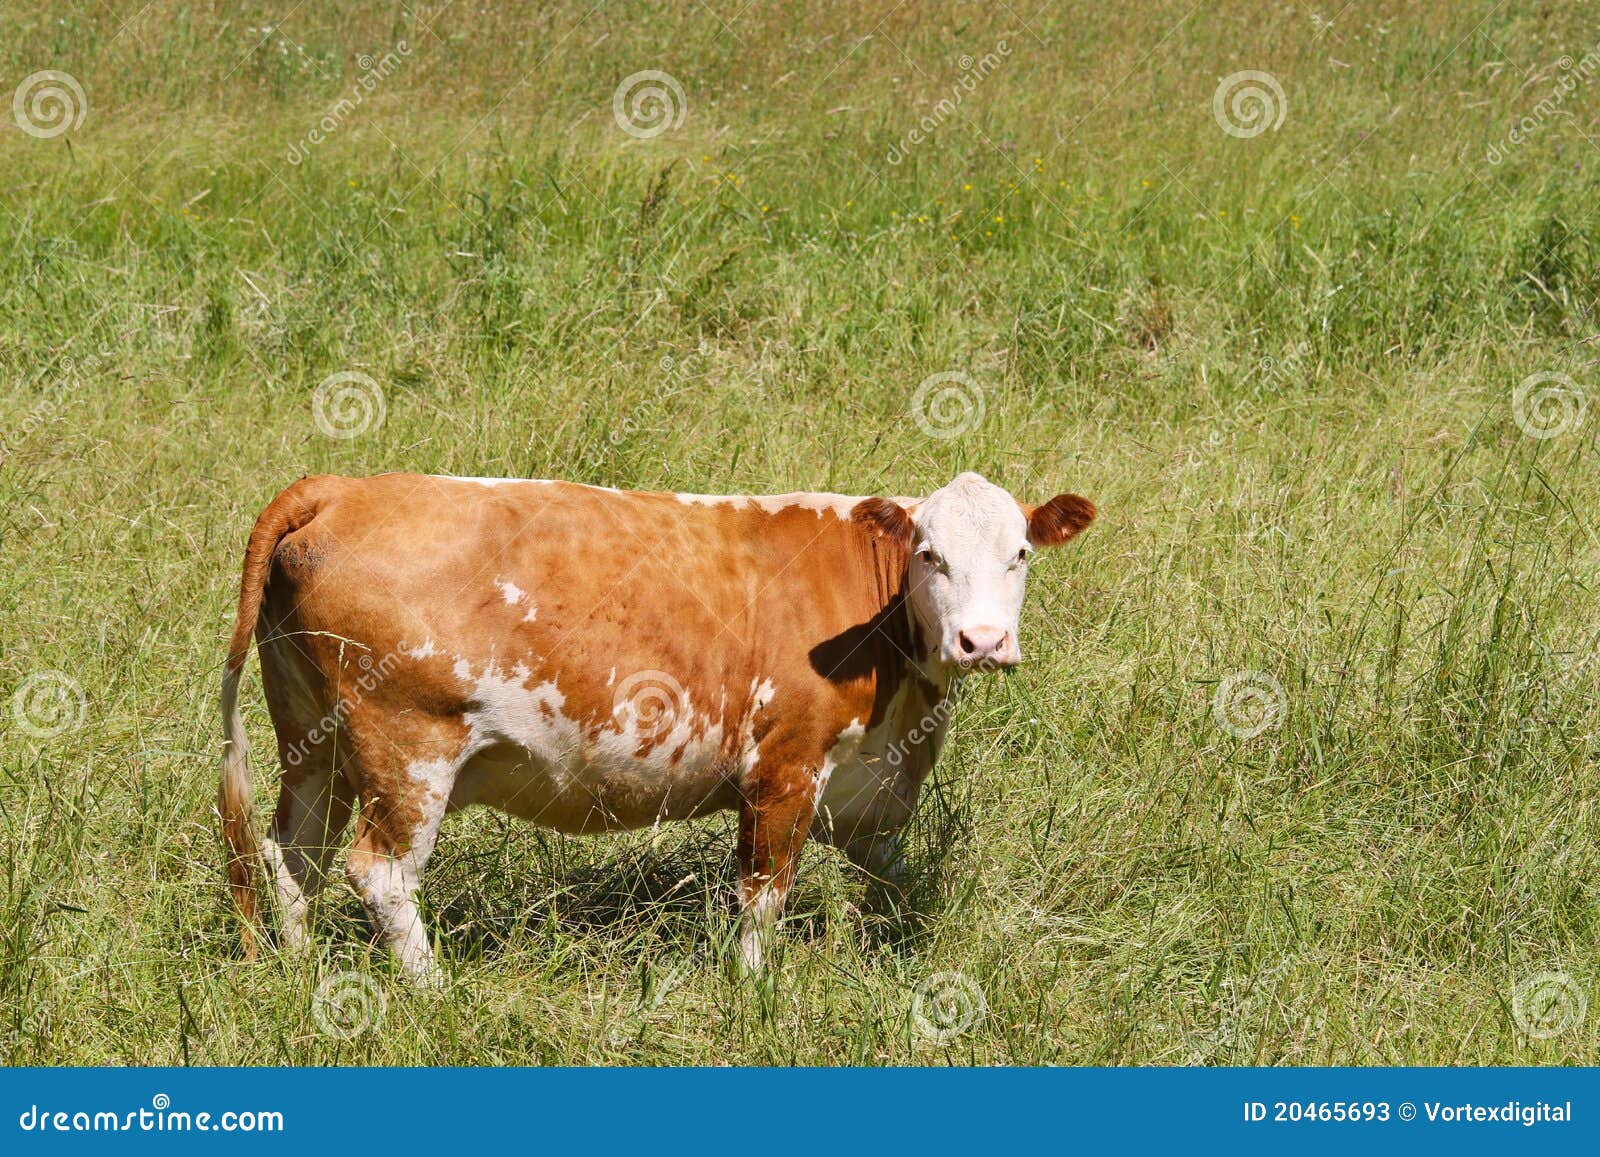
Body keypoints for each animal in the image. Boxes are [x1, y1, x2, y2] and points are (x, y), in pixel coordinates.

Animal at [219, 471, 1095, 982]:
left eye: (1020, 552)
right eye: (929, 553)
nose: (982, 640)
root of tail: (343, 485)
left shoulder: (866, 786)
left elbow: (894, 878)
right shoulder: (783, 767)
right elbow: (762, 896)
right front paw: (753, 994)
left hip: (314, 743)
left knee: (293, 856)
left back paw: (298, 972)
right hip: (409, 746)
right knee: (381, 874)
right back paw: (433, 991)